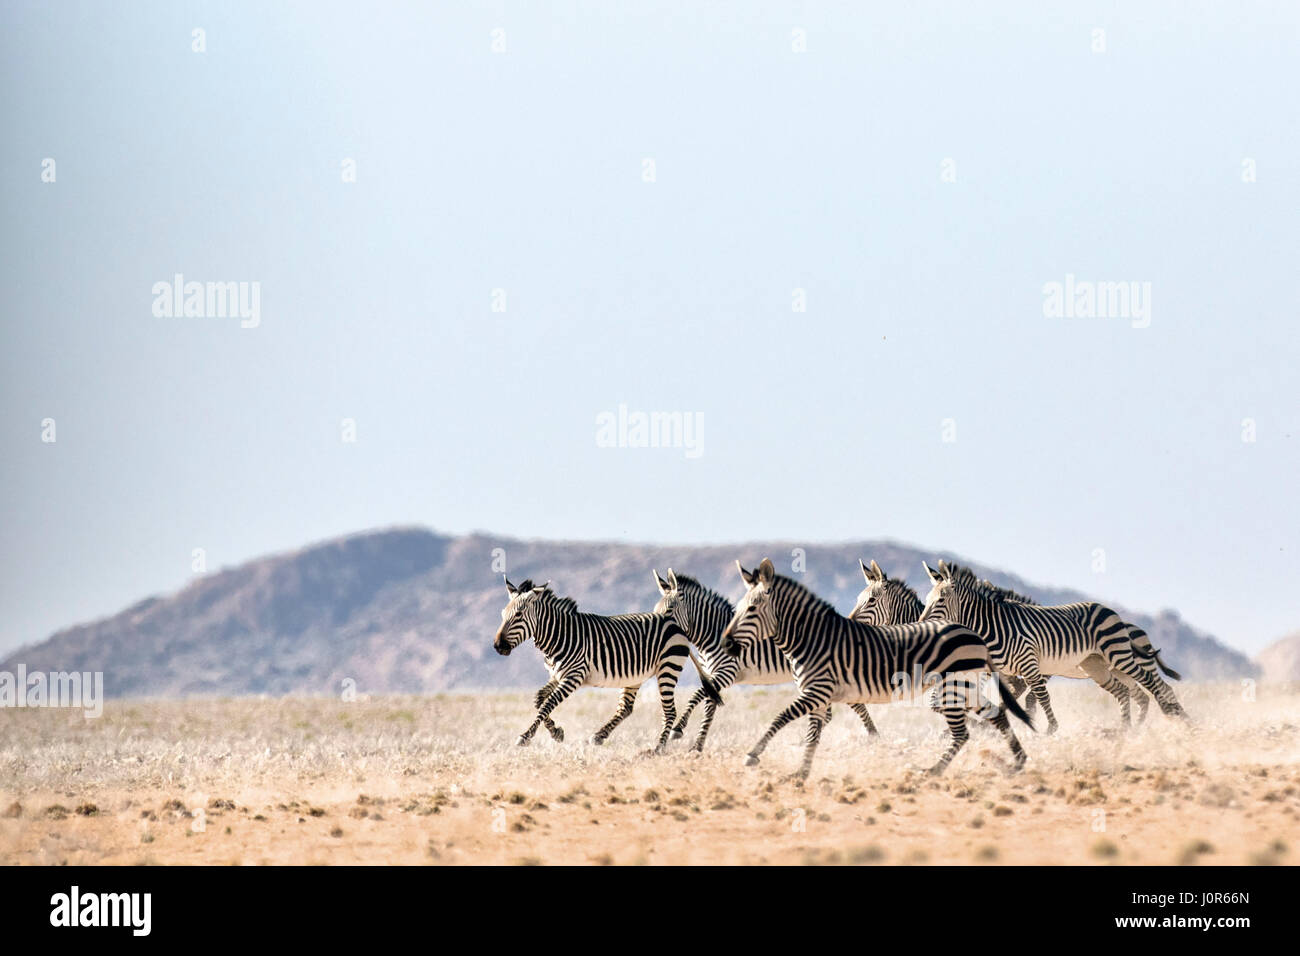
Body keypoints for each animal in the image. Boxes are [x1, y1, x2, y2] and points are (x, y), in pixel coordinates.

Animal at [494, 576, 723, 751]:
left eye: (518, 615)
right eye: (503, 615)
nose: (497, 646)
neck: (560, 635)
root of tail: (676, 625)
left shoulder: (573, 676)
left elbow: (548, 703)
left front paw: (526, 735)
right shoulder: (557, 675)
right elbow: (539, 700)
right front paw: (556, 732)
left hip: (668, 668)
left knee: (669, 712)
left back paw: (657, 748)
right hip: (636, 675)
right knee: (626, 708)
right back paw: (600, 736)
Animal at [651, 568, 879, 751]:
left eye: (669, 610)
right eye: (654, 611)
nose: (658, 633)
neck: (712, 634)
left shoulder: (727, 672)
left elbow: (696, 695)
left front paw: (679, 729)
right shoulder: (712, 675)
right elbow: (709, 707)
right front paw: (697, 746)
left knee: (853, 705)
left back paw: (873, 735)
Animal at [719, 558, 1033, 780]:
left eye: (751, 609)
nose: (726, 643)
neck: (811, 638)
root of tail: (973, 633)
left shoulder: (817, 691)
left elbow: (780, 717)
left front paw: (753, 755)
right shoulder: (819, 696)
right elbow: (813, 735)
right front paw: (801, 773)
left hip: (954, 687)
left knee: (965, 731)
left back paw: (934, 771)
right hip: (965, 687)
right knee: (997, 714)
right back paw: (1017, 761)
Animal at [918, 560, 1185, 733]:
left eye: (940, 600)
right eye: (928, 600)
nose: (920, 624)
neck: (993, 627)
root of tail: (1111, 611)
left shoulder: (1031, 665)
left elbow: (1038, 696)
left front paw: (1050, 728)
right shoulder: (1000, 670)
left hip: (1120, 657)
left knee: (1154, 685)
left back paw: (1174, 716)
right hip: (1098, 667)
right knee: (1128, 692)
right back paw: (1127, 728)